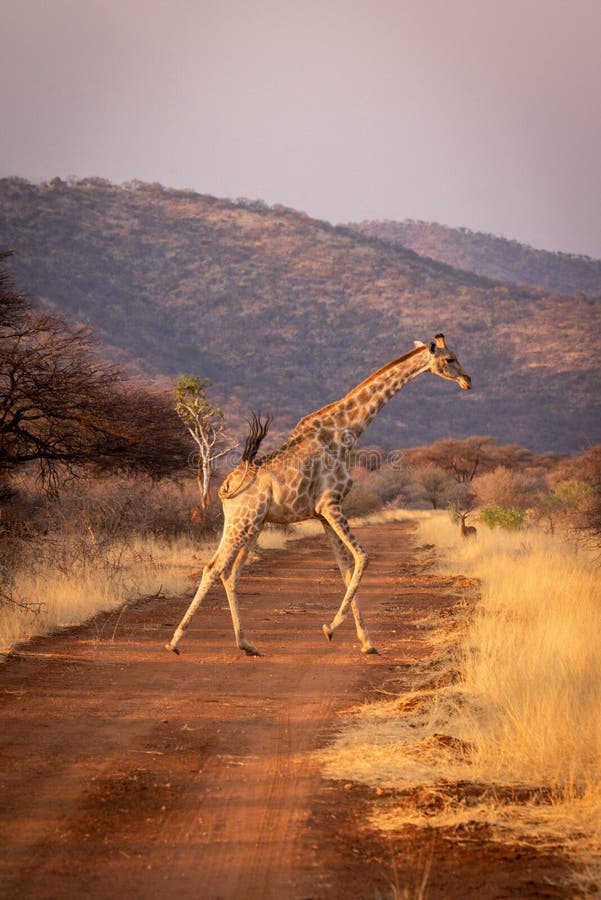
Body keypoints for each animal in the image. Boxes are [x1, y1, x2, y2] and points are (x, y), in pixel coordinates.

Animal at [166, 333, 471, 657]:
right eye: (450, 358)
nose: (468, 381)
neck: (345, 432)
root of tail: (224, 489)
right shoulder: (331, 504)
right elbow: (362, 557)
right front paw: (331, 628)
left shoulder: (324, 514)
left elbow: (346, 570)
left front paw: (367, 642)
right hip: (243, 522)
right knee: (214, 567)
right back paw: (175, 642)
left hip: (252, 524)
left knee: (230, 573)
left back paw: (246, 644)